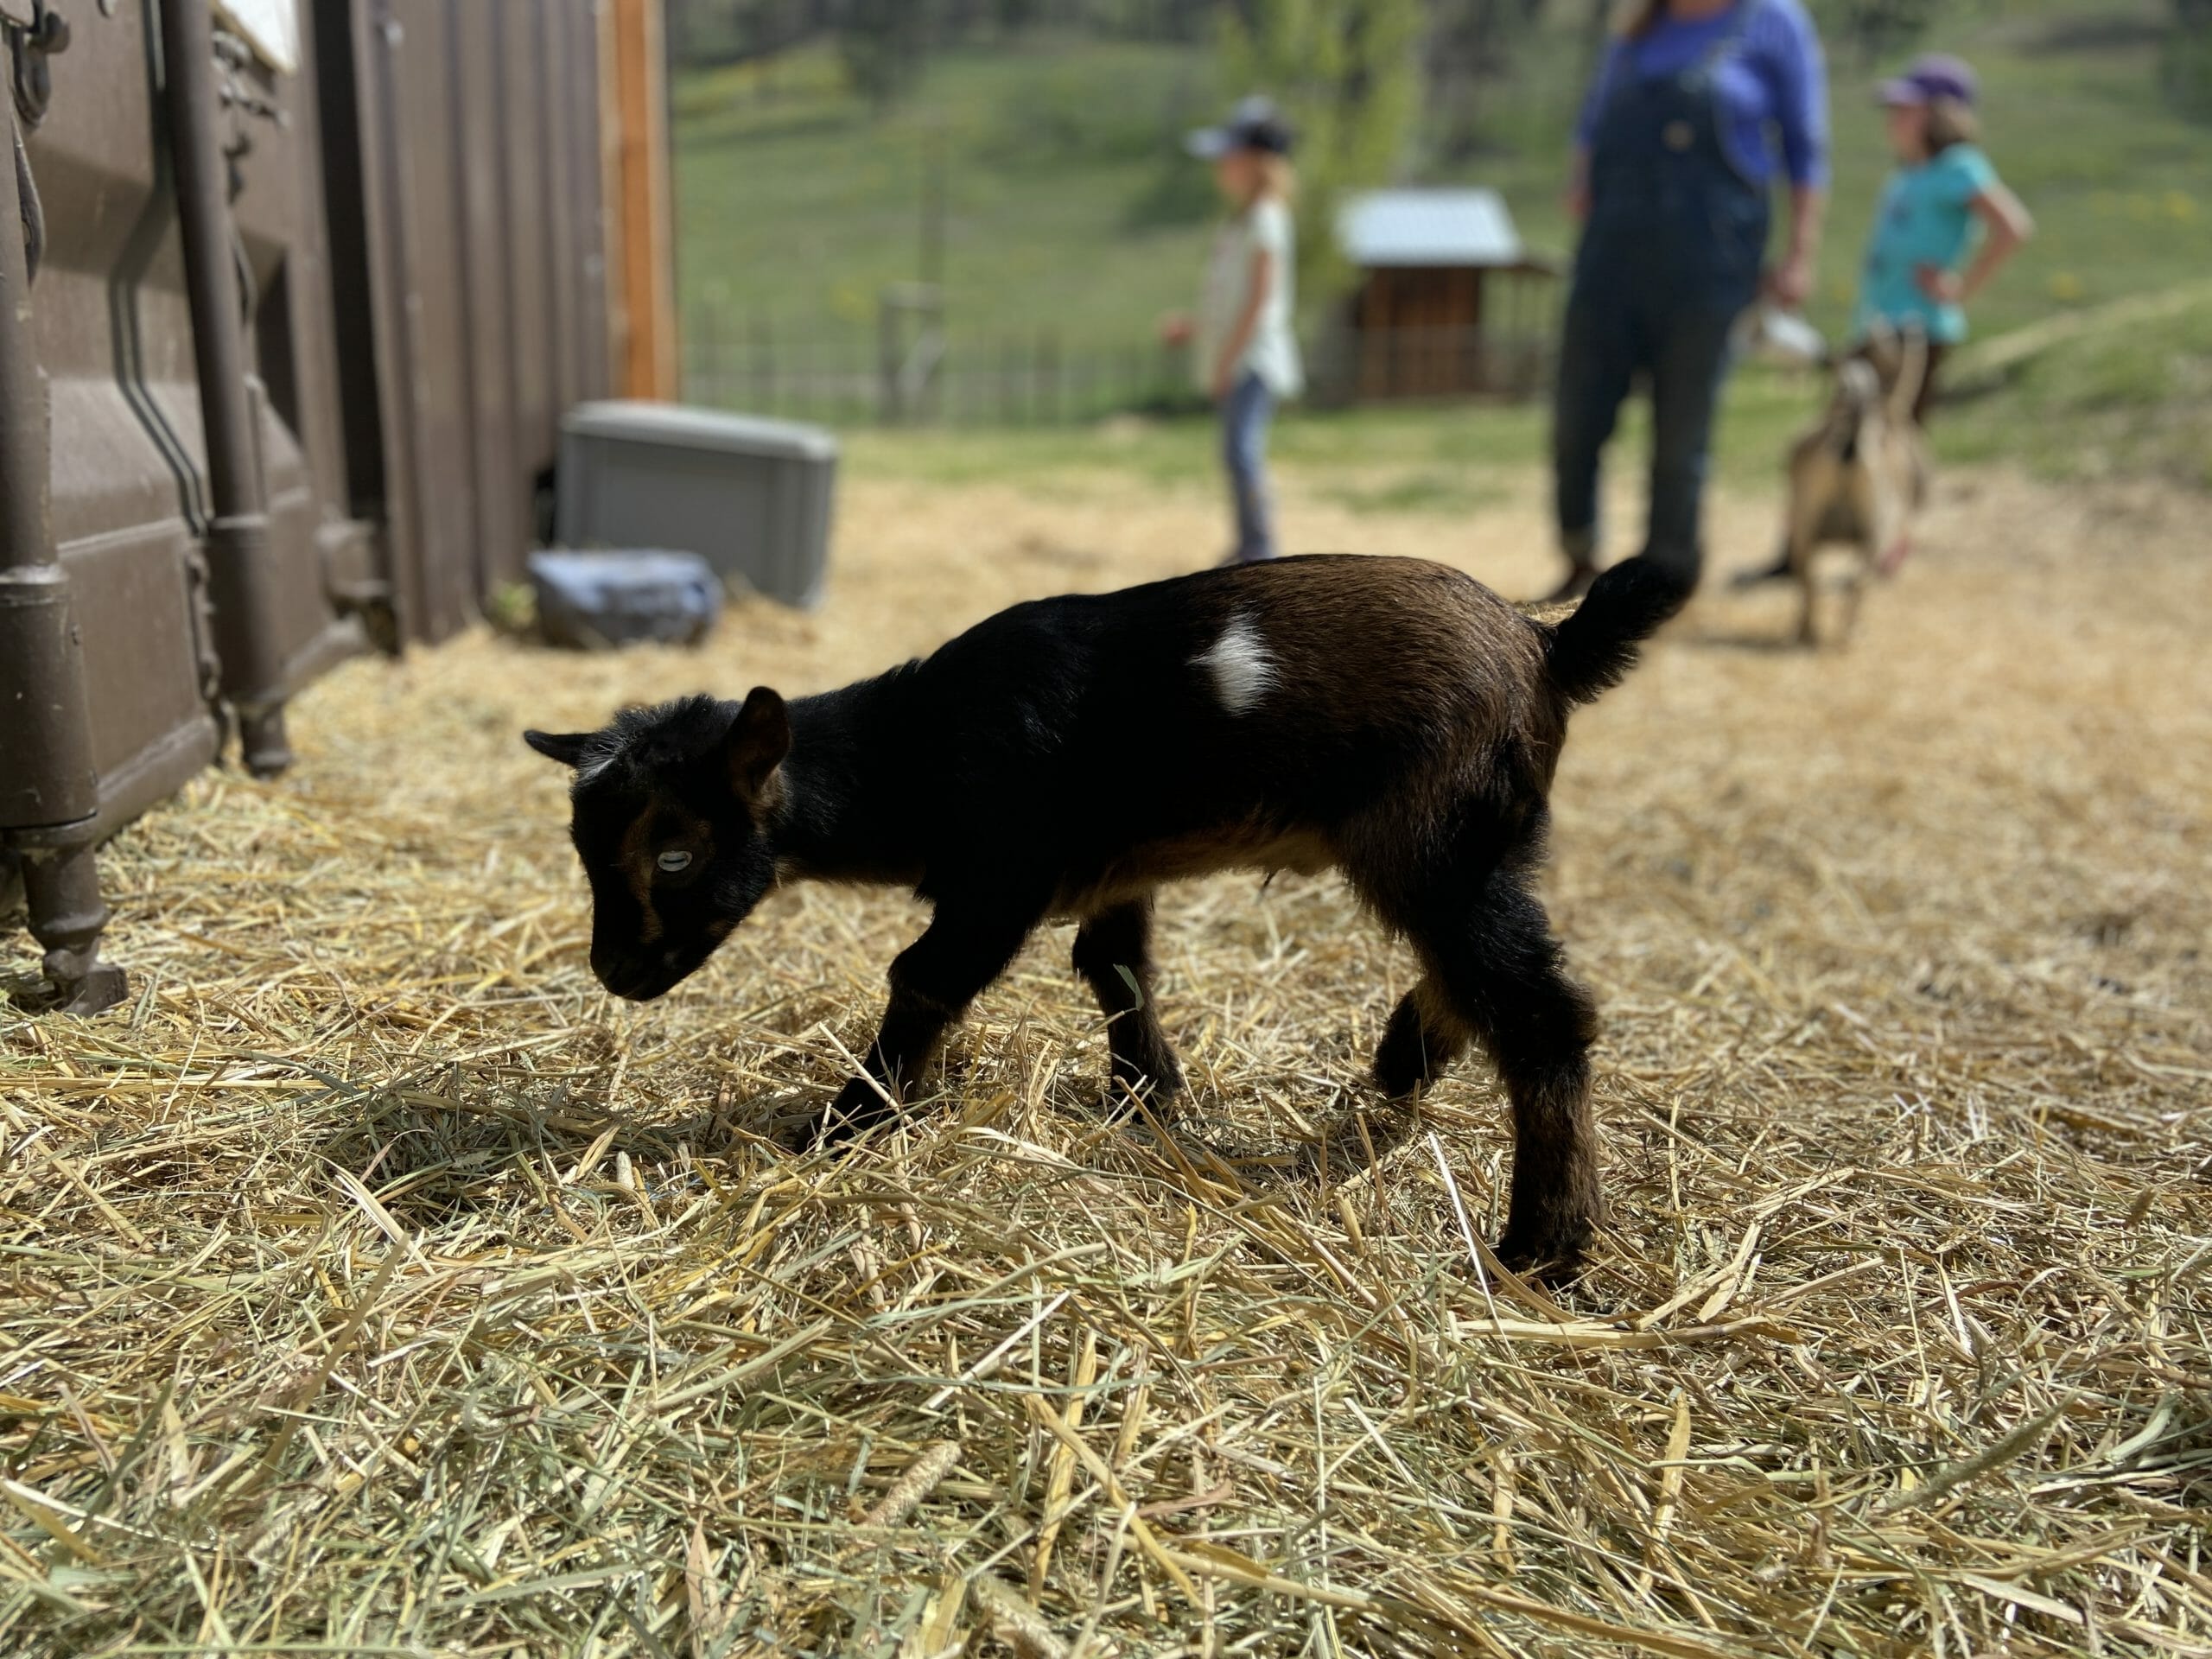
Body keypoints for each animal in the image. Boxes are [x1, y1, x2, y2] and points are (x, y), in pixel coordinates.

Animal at [525, 554, 1678, 1275]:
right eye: (582, 848)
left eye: (673, 852)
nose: (614, 973)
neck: (916, 751)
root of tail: (1543, 641)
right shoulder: (1113, 873)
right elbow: (1116, 968)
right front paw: (1144, 1096)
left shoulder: (1001, 873)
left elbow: (923, 977)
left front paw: (844, 1123)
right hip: (1460, 849)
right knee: (1474, 978)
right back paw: (1402, 1066)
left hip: (1436, 839)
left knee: (1536, 1011)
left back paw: (1543, 1250)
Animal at [1781, 325, 1932, 647]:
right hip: (1872, 531)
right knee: (1852, 583)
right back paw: (1847, 632)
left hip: (1806, 526)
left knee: (1812, 579)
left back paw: (1810, 631)